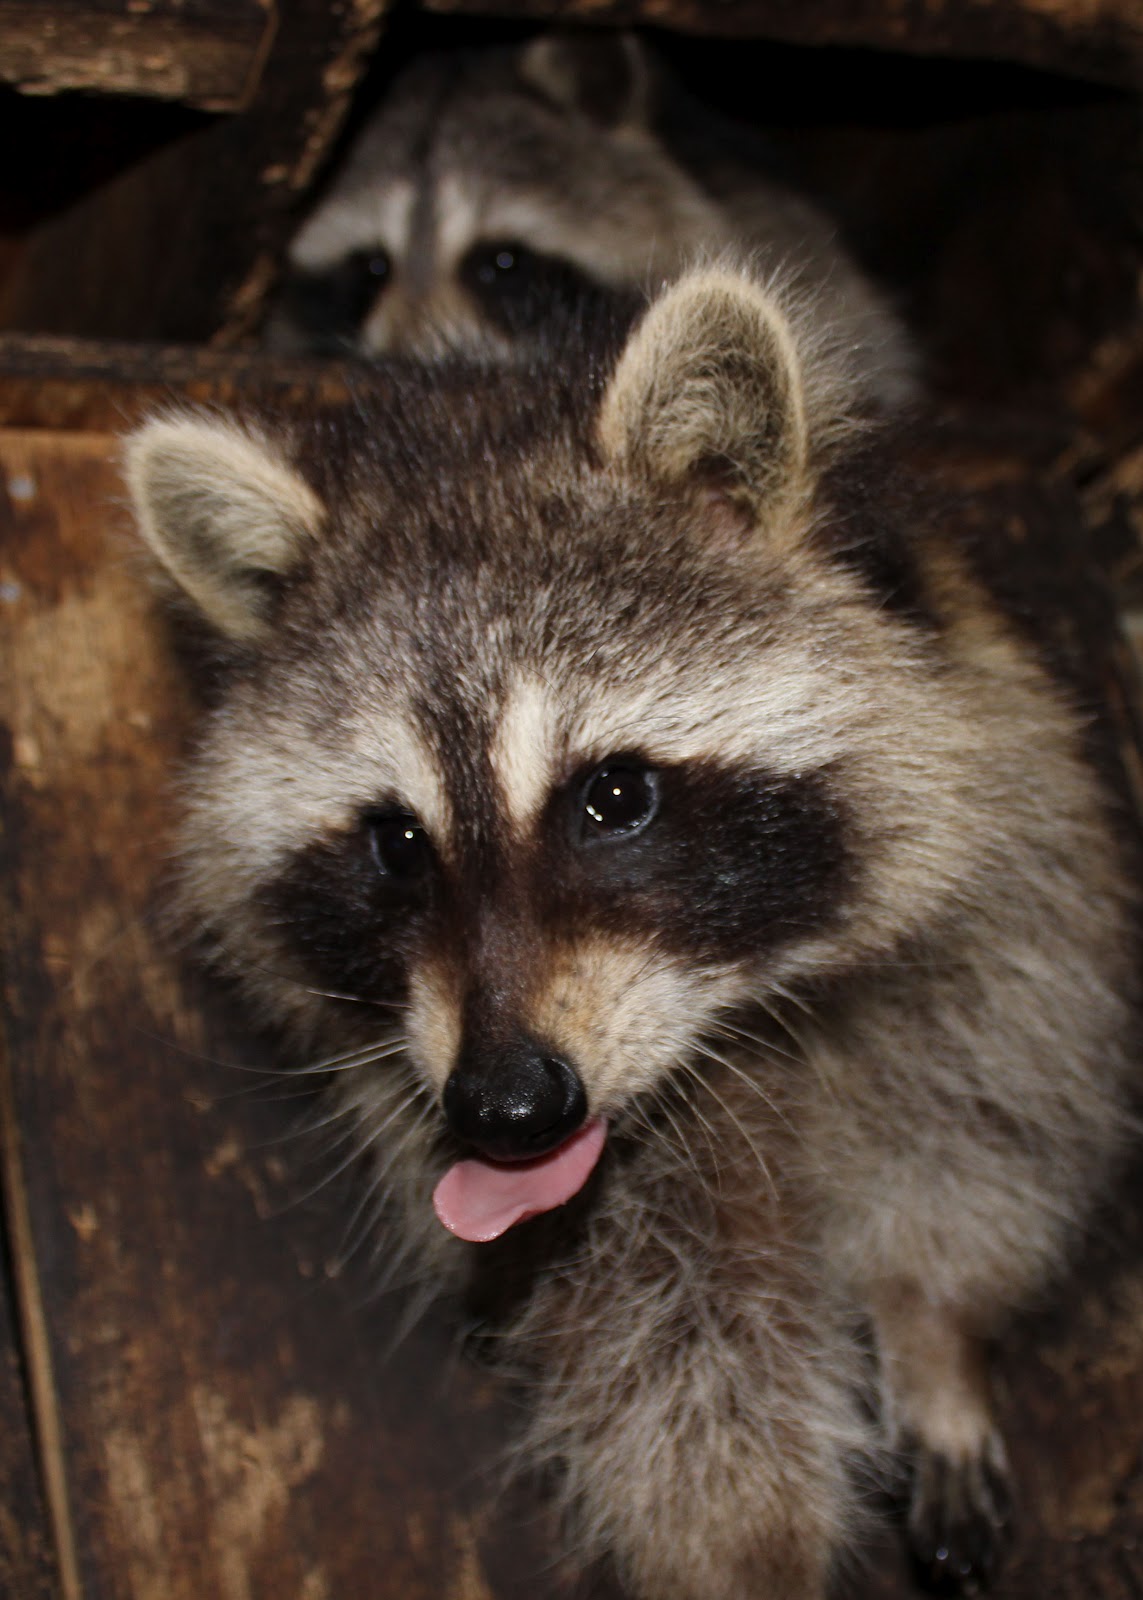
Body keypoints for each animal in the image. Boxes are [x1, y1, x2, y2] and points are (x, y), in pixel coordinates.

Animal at [127, 267, 1136, 1598]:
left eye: (614, 795)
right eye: (395, 843)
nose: (507, 1108)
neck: (746, 1015)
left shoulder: (1010, 865)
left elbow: (986, 1123)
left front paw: (937, 1330)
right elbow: (674, 1362)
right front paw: (751, 1554)